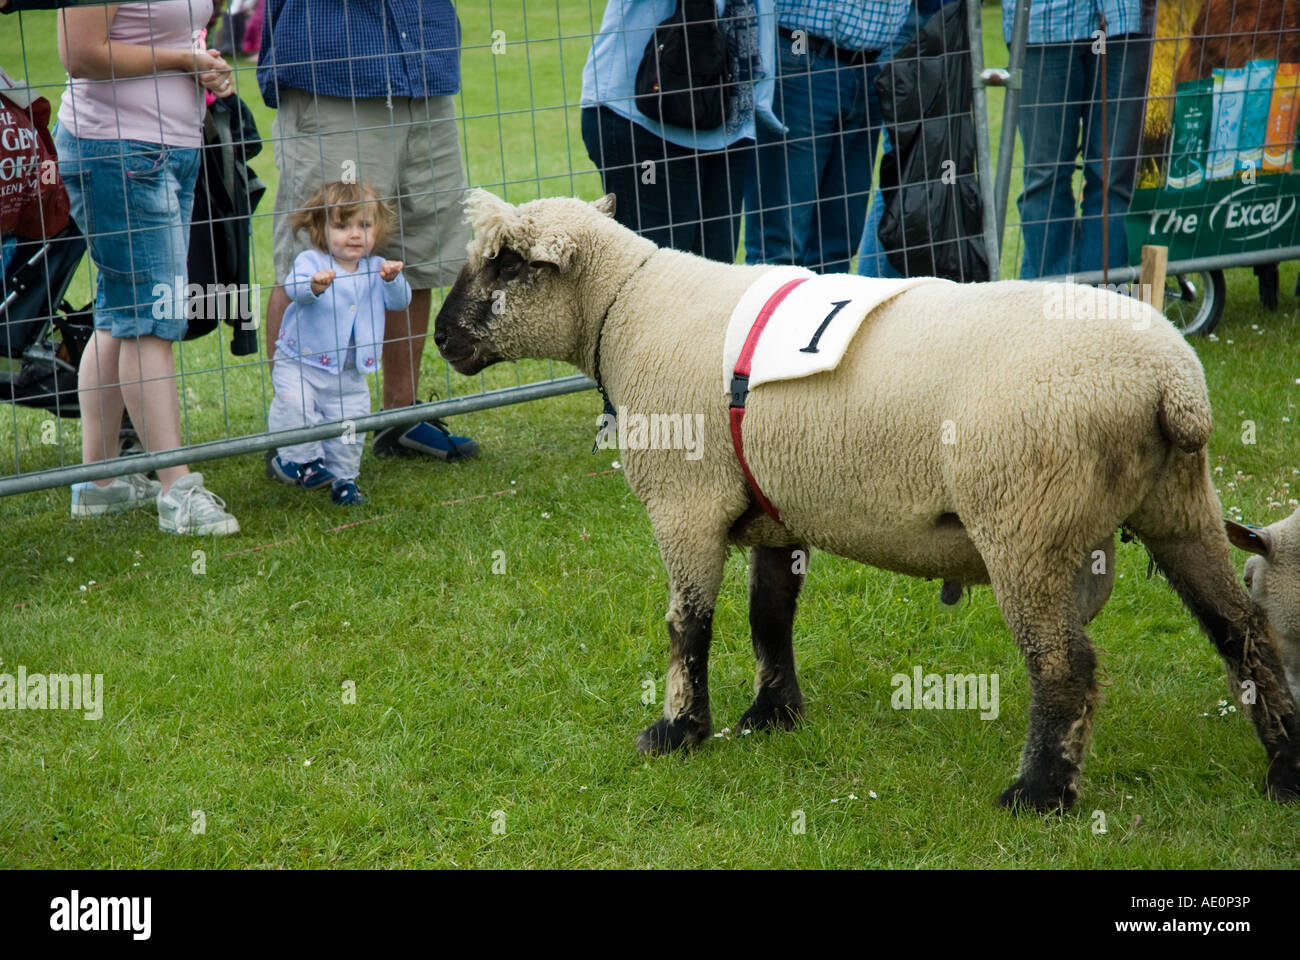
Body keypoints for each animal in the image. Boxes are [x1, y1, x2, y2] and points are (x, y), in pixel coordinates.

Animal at [433, 189, 1300, 813]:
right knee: (1245, 631)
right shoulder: (774, 509)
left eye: (505, 264)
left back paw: (1038, 795)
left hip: (1026, 523)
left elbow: (687, 627)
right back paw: (1283, 771)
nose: (440, 339)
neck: (624, 314)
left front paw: (679, 731)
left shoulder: (684, 504)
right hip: (1177, 506)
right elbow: (769, 616)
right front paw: (770, 716)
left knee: (1065, 666)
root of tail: (1172, 384)